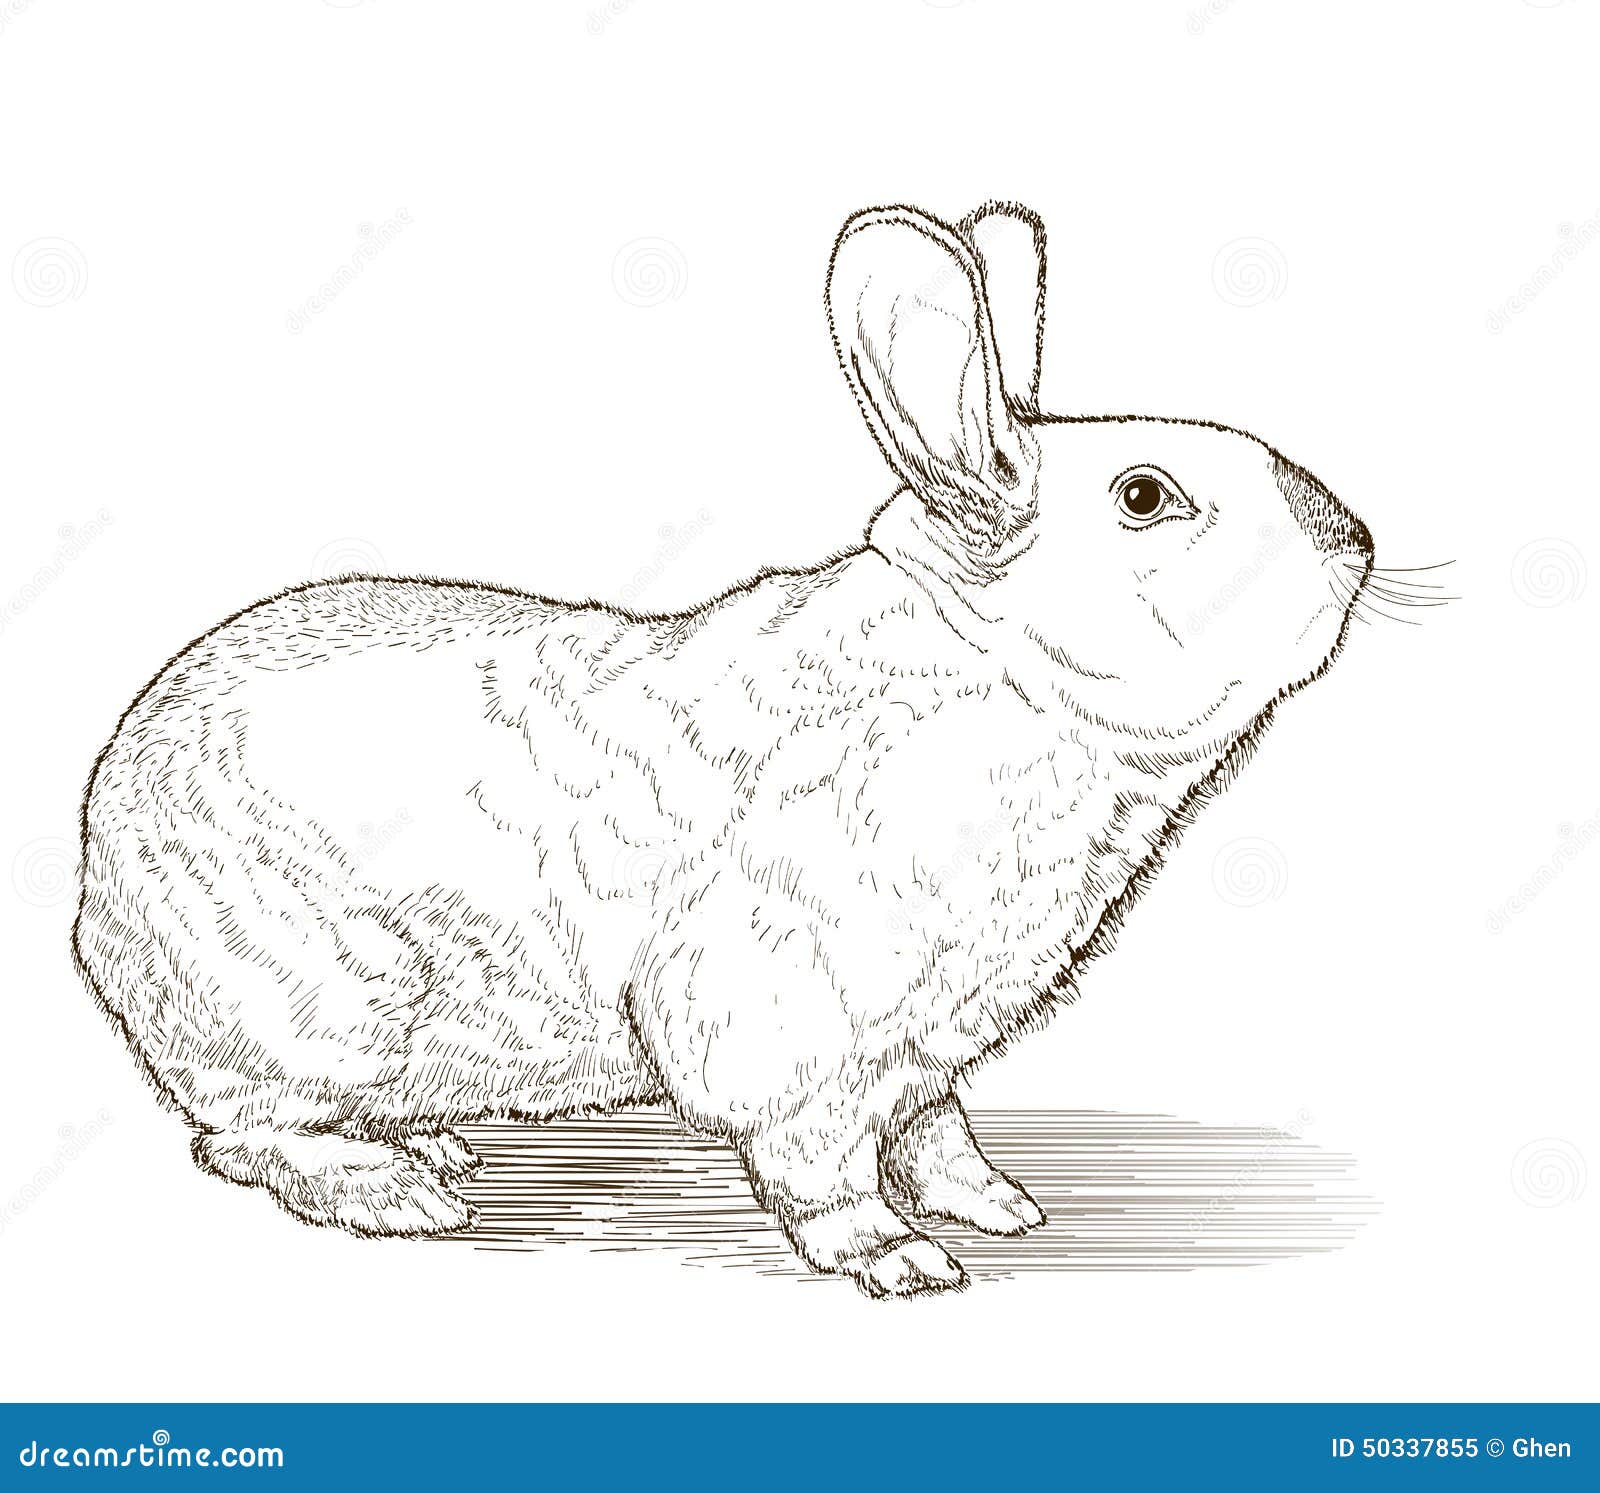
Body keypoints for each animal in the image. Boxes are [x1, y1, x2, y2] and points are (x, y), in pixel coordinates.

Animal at [73, 200, 1373, 1296]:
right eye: (1147, 496)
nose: (1353, 539)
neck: (992, 680)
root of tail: (96, 894)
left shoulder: (928, 1042)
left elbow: (934, 1125)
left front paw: (997, 1202)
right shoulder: (782, 1019)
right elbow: (817, 1162)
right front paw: (896, 1259)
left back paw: (434, 1144)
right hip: (309, 1013)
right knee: (245, 1134)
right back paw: (399, 1191)